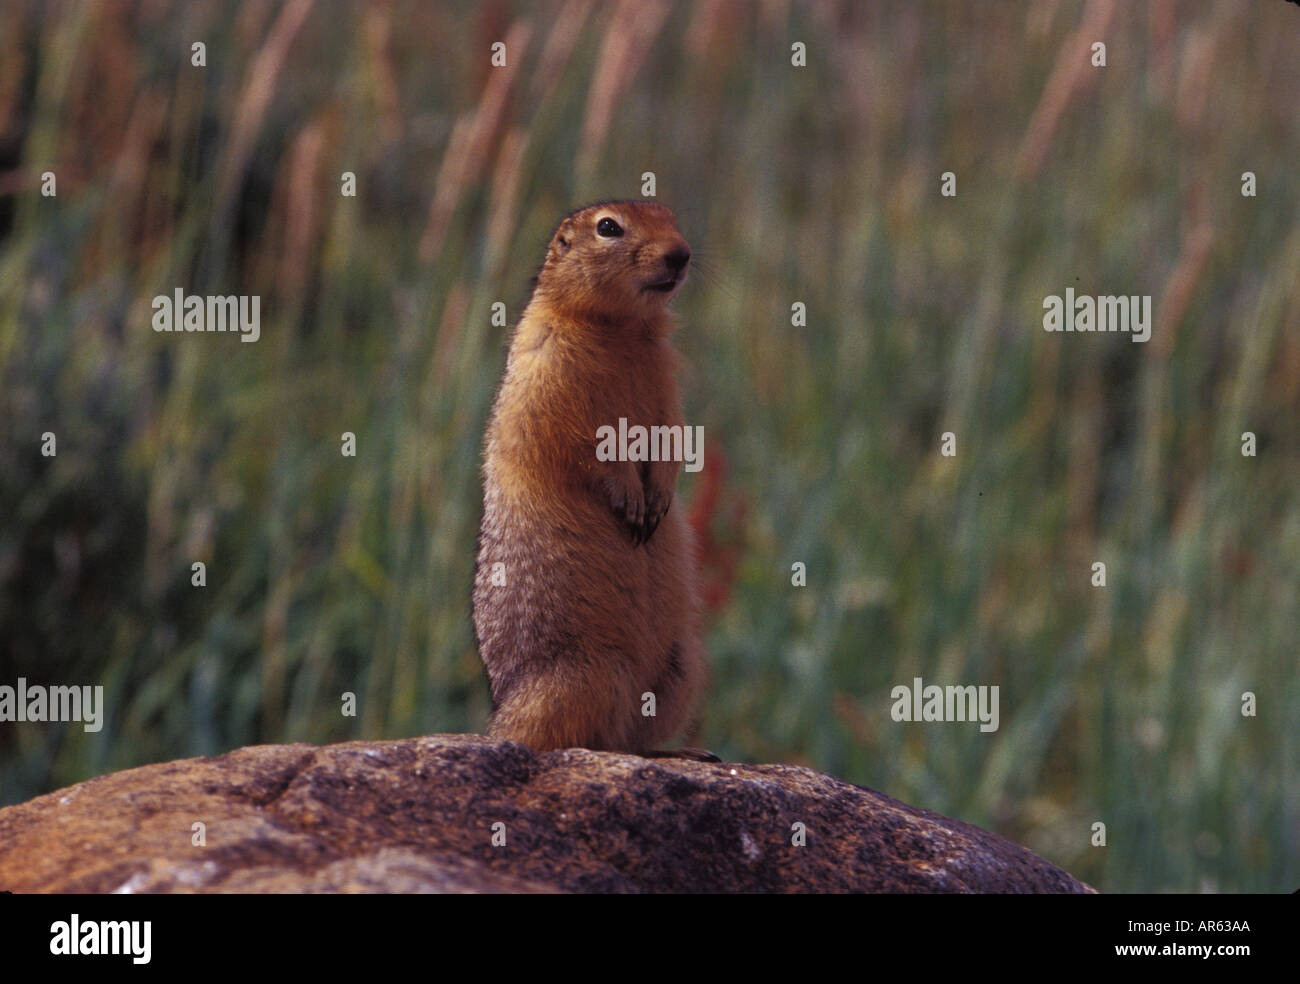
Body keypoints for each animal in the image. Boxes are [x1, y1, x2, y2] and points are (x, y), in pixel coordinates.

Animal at [472, 201, 707, 754]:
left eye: (670, 215)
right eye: (608, 227)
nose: (681, 253)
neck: (622, 330)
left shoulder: (666, 379)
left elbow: (672, 432)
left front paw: (658, 498)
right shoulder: (553, 372)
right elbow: (582, 444)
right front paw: (631, 500)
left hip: (682, 666)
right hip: (584, 676)